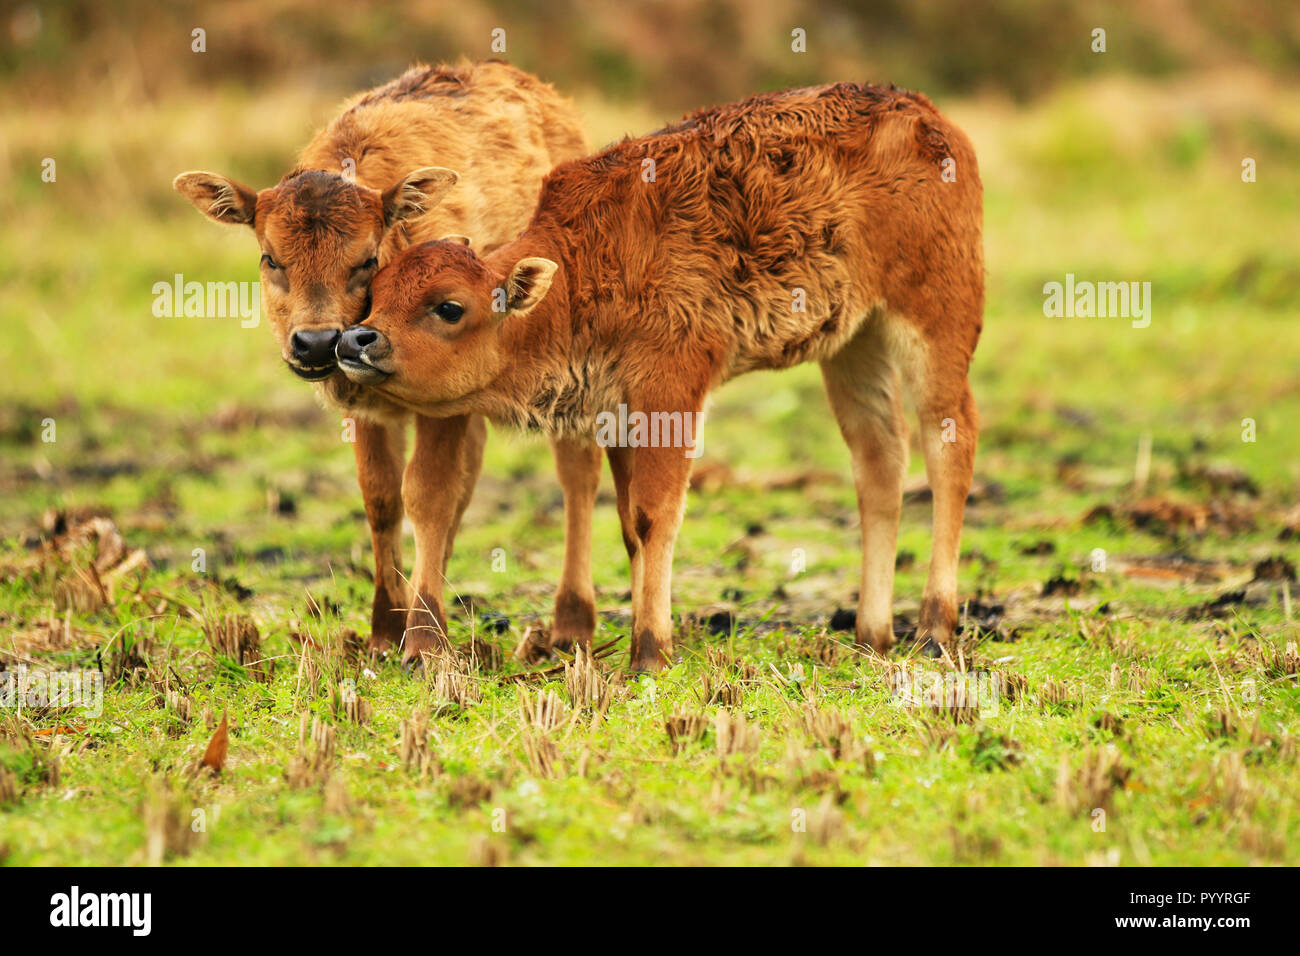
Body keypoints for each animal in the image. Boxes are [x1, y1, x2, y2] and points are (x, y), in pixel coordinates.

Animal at [173, 61, 600, 667]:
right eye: (270, 258)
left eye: (366, 259)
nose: (317, 342)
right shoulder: (370, 411)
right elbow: (382, 499)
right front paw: (383, 630)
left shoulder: (444, 405)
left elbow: (426, 494)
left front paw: (422, 641)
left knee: (576, 474)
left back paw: (570, 624)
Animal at [336, 81, 984, 672]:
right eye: (377, 292)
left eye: (449, 307)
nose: (357, 339)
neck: (581, 270)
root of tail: (931, 118)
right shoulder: (619, 410)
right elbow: (629, 521)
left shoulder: (672, 393)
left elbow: (655, 515)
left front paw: (650, 652)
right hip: (854, 343)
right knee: (880, 458)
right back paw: (872, 634)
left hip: (933, 322)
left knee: (949, 445)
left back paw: (934, 629)